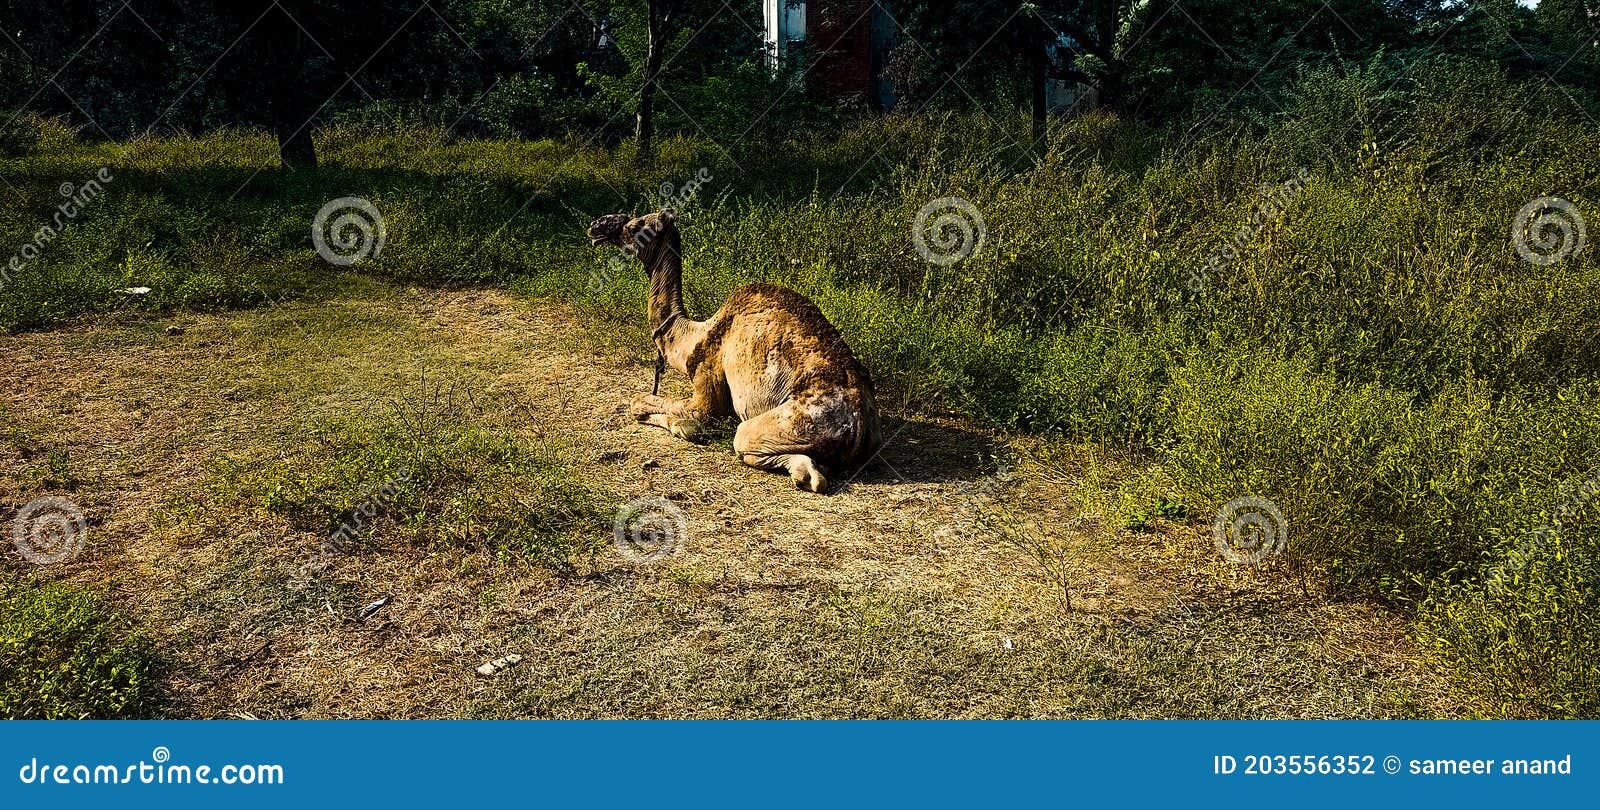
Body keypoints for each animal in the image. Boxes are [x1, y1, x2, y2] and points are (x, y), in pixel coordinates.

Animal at [587, 210, 882, 492]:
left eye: (636, 226)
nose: (598, 225)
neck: (691, 337)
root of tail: (860, 426)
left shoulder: (707, 381)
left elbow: (644, 404)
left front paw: (685, 426)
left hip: (802, 420)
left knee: (753, 444)